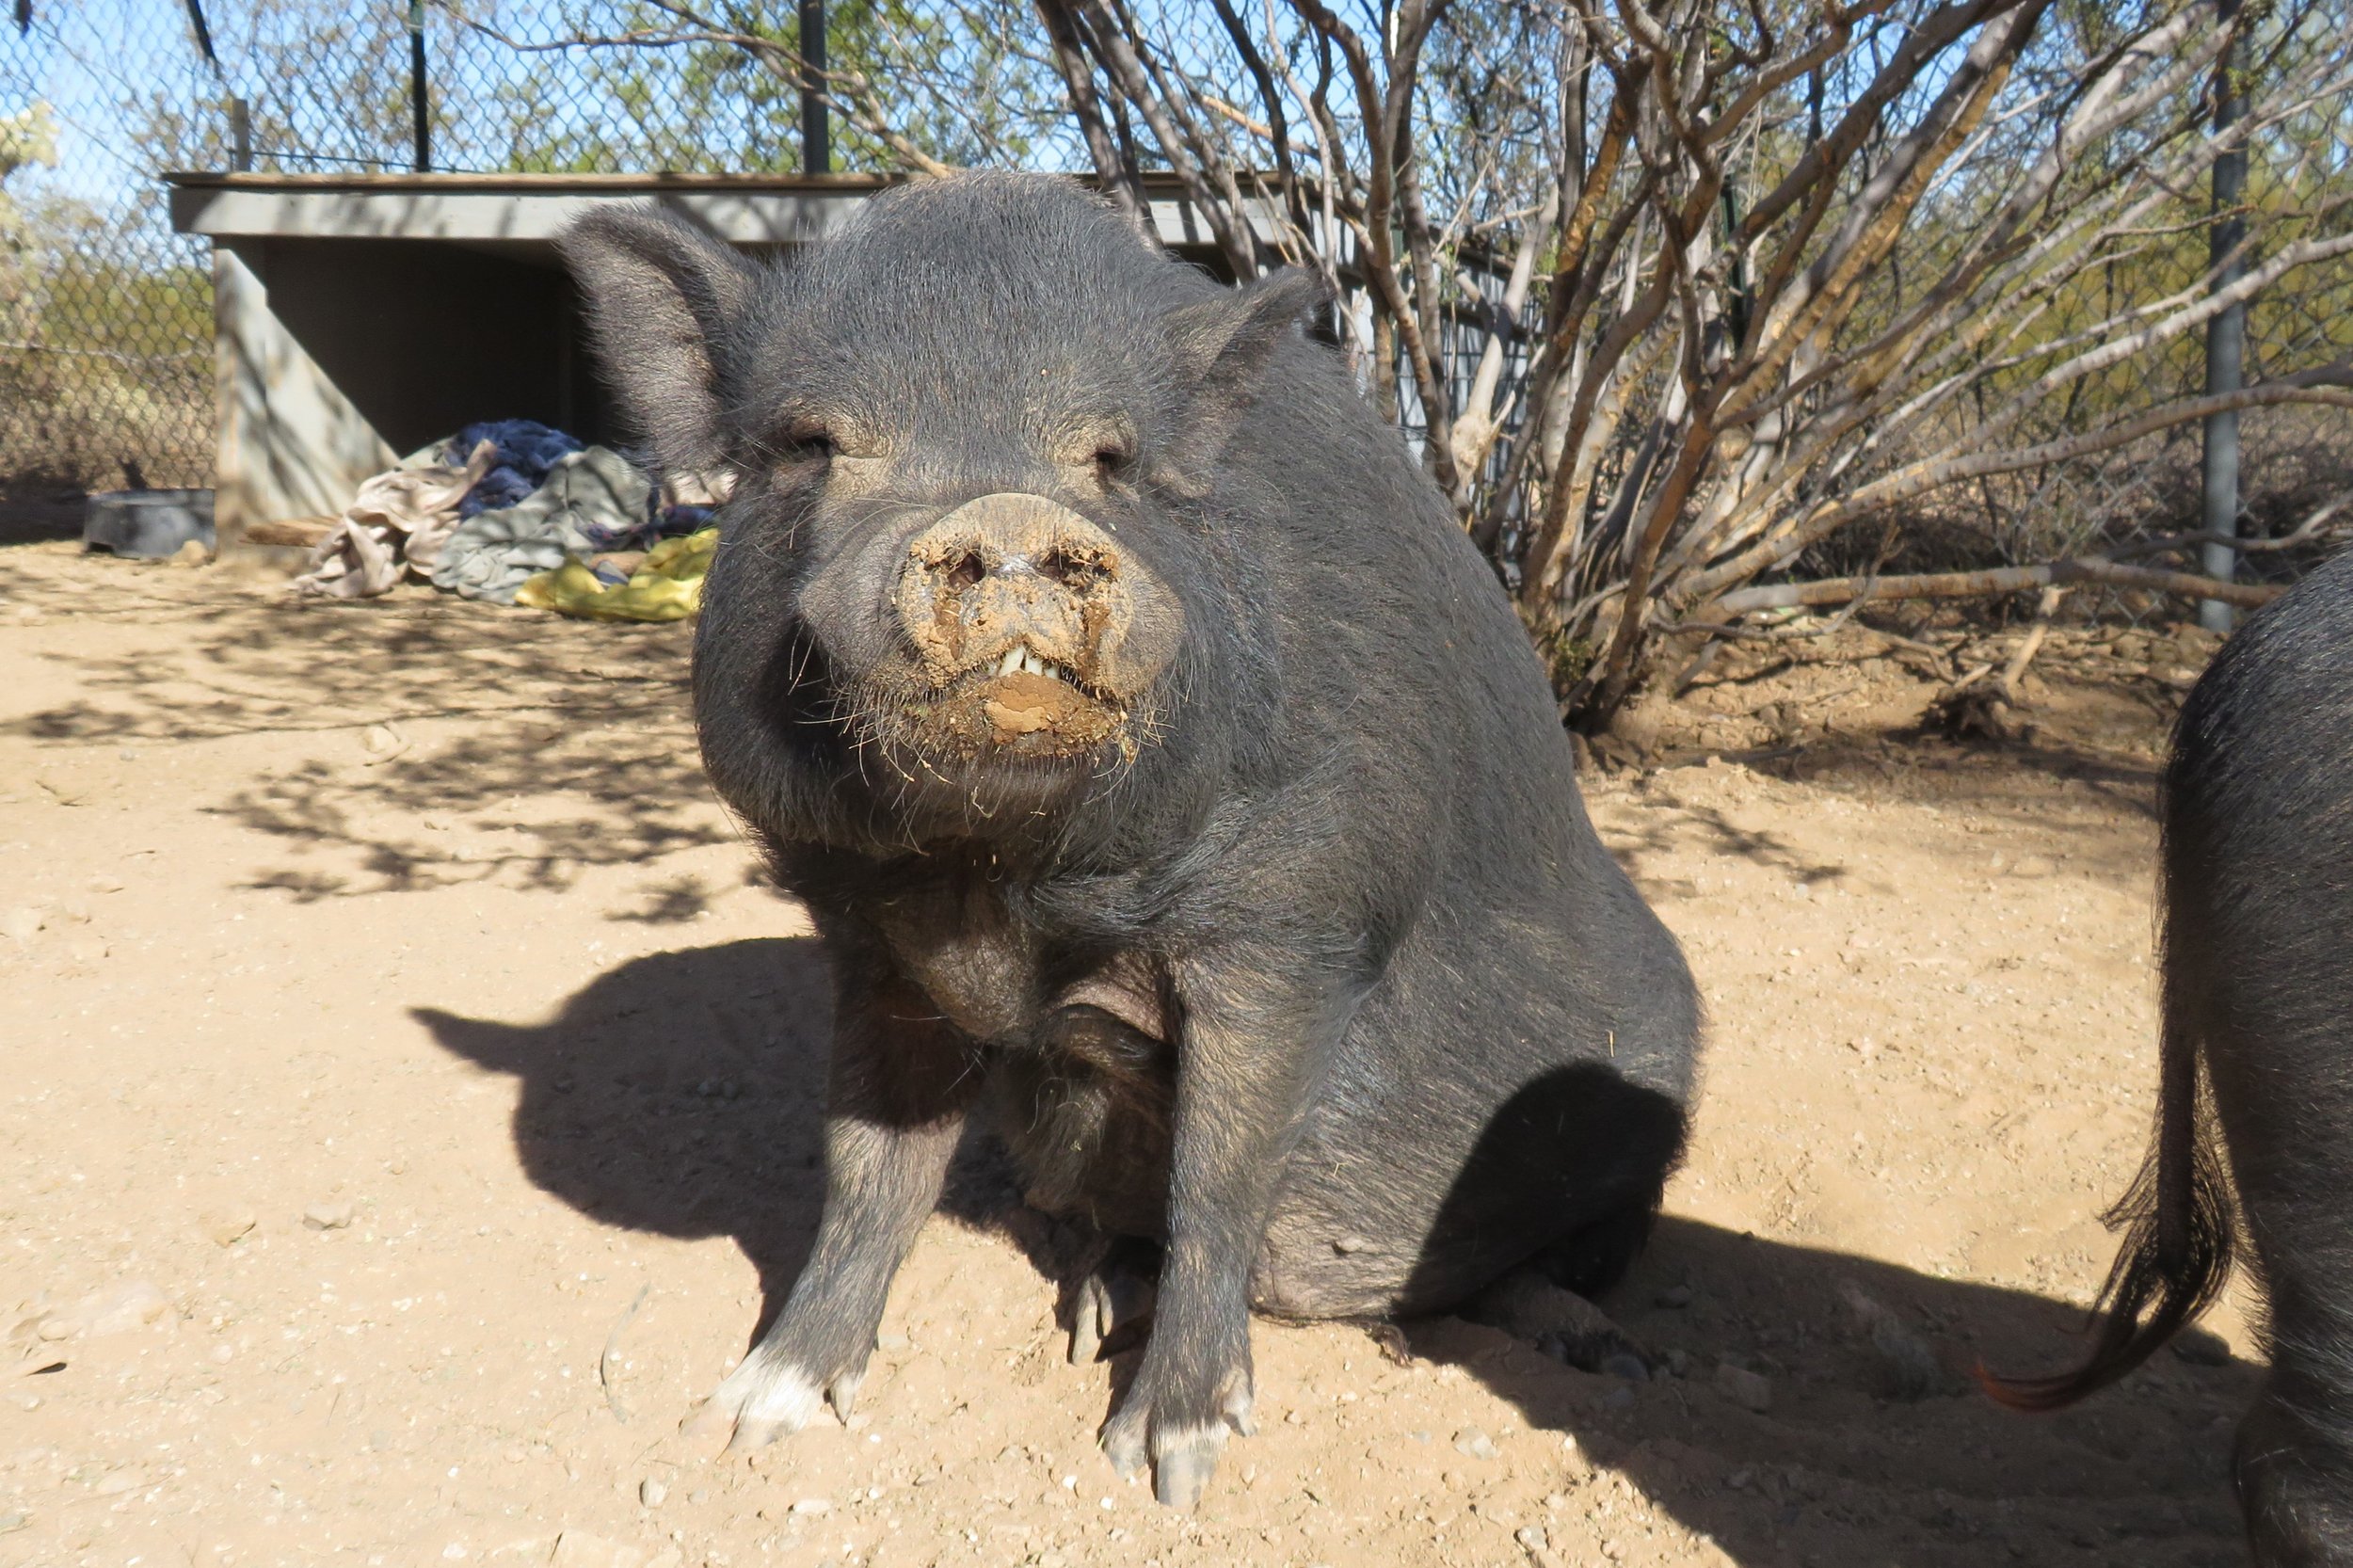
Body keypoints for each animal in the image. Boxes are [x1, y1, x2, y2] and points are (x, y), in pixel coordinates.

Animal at [557, 173, 1698, 1508]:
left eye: (1111, 459)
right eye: (810, 444)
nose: (1005, 513)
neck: (996, 881)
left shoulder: (1298, 922)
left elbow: (1220, 1171)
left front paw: (1168, 1464)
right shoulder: (876, 947)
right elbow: (866, 1167)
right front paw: (753, 1412)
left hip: (1654, 1092)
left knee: (1553, 1260)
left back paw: (1606, 1355)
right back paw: (1098, 1305)